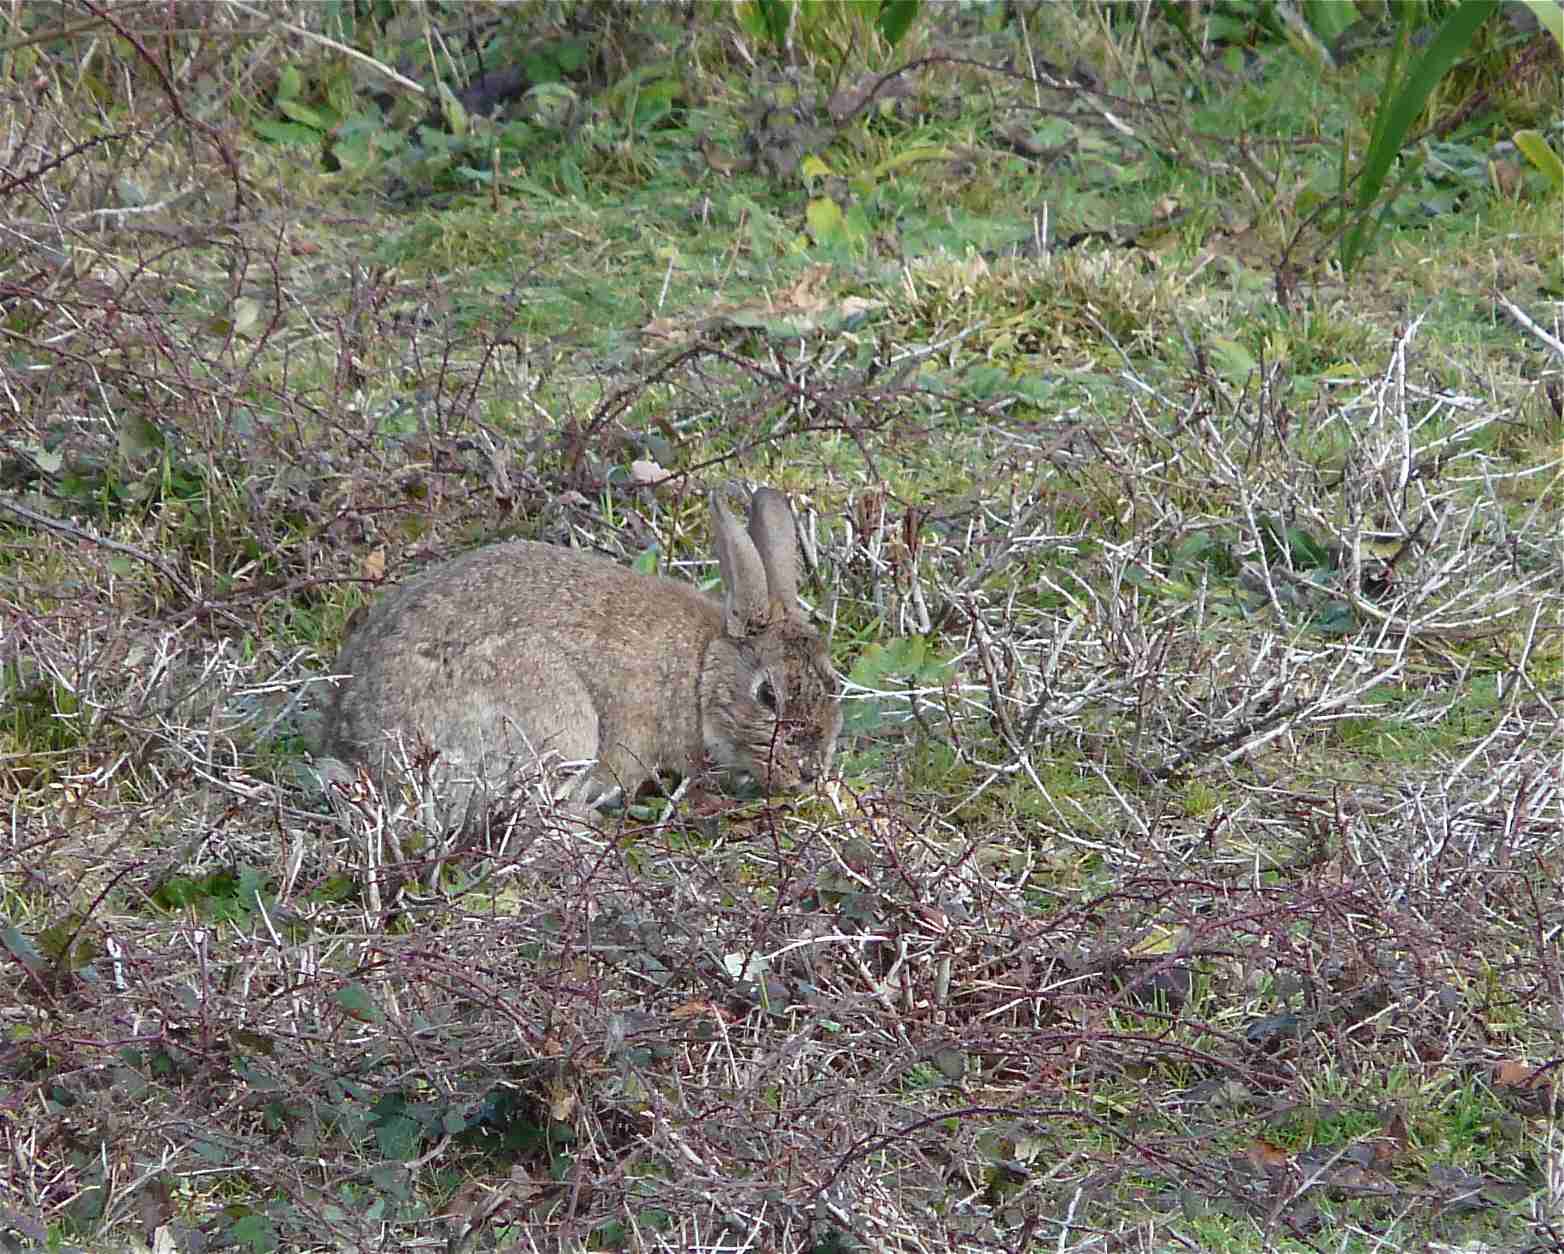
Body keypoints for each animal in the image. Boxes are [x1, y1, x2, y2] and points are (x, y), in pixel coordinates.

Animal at [319, 485, 841, 815]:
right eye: (768, 696)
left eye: (834, 683)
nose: (810, 772)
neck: (702, 669)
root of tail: (359, 752)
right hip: (555, 715)